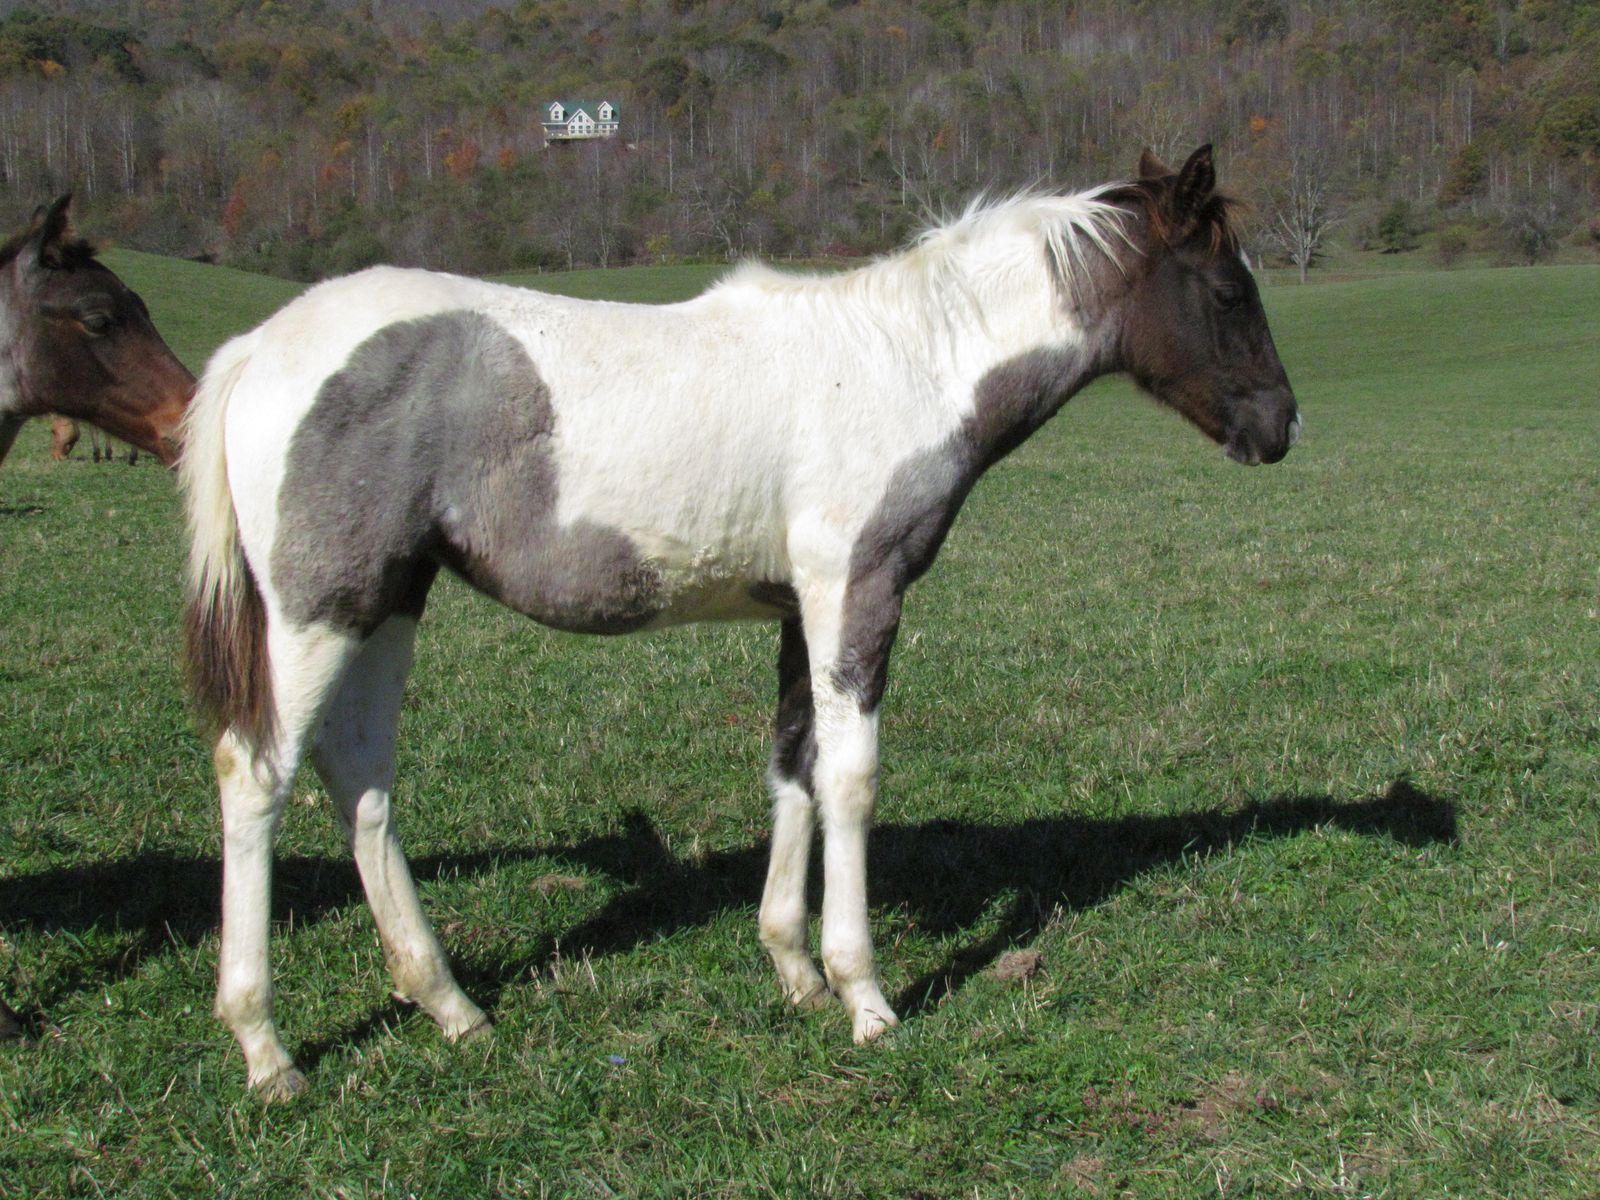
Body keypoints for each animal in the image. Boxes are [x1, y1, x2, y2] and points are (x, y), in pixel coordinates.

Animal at [181, 145, 1300, 1098]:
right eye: (1229, 292)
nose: (1280, 426)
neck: (910, 362)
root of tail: (259, 346)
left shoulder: (799, 612)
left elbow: (792, 768)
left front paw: (794, 971)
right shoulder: (858, 593)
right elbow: (849, 783)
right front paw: (864, 996)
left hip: (389, 604)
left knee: (360, 779)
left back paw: (452, 1006)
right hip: (319, 613)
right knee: (257, 773)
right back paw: (266, 1048)